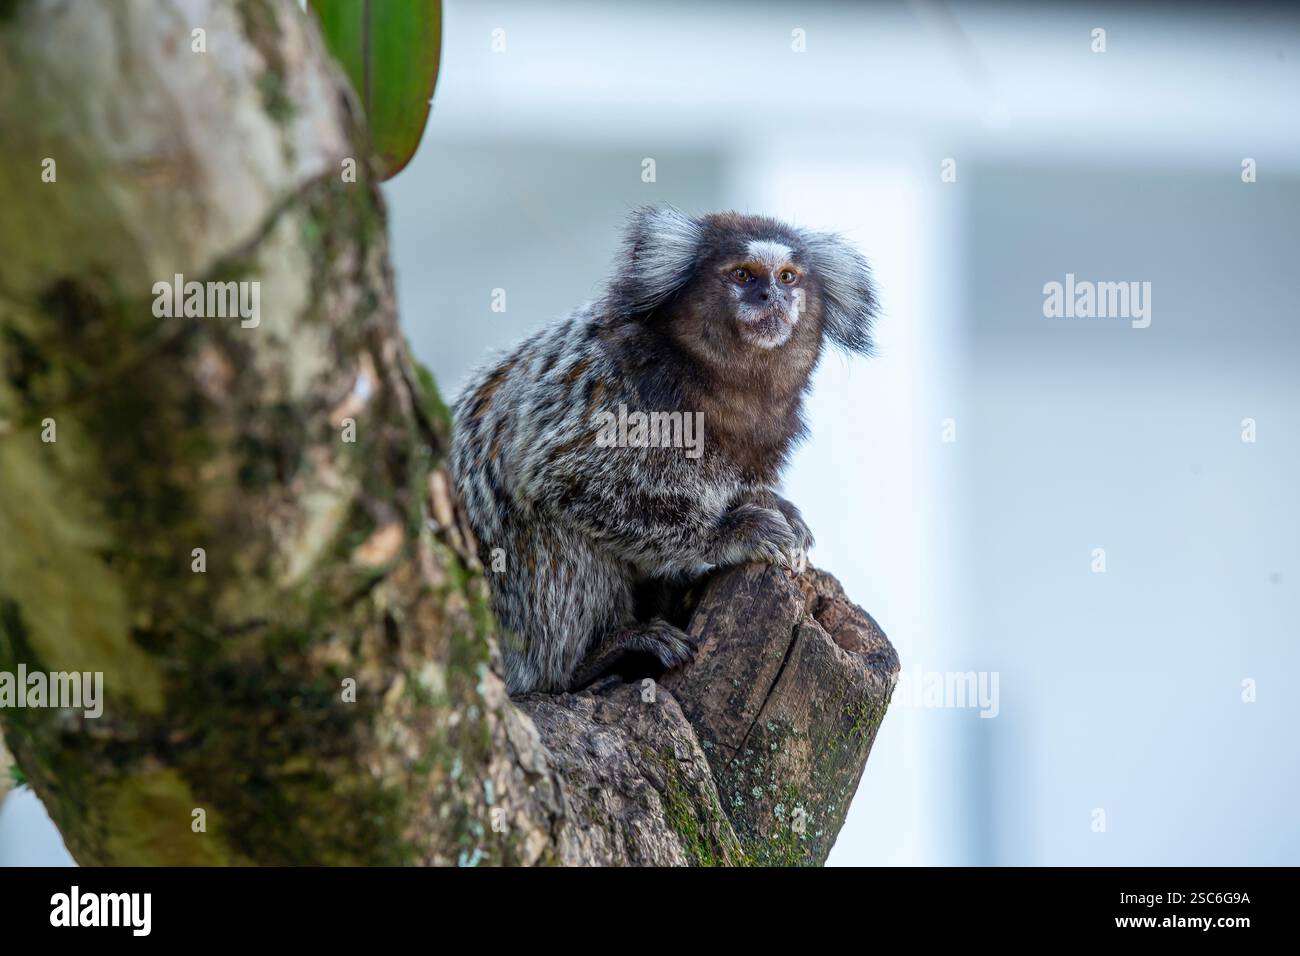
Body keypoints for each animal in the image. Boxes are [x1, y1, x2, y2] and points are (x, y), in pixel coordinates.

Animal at [450, 205, 878, 695]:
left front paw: (777, 509)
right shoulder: (611, 391)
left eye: (788, 277)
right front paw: (732, 532)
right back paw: (594, 658)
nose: (772, 296)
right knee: (553, 539)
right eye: (743, 274)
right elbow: (566, 482)